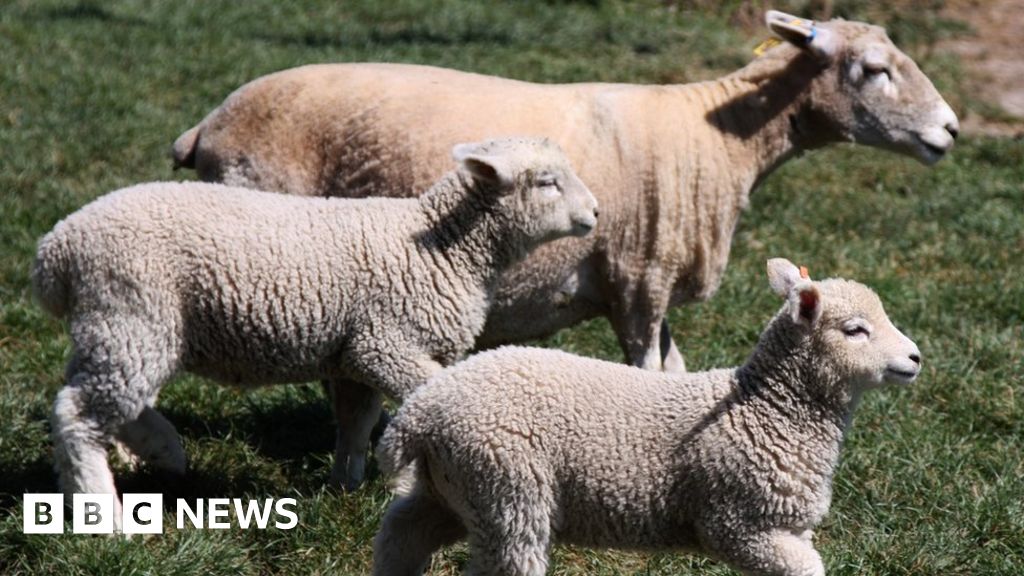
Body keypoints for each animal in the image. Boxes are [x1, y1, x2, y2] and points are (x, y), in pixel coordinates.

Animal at [32, 137, 599, 525]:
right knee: (79, 413)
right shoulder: (386, 343)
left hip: (114, 326)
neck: (443, 246)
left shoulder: (354, 355)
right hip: (133, 314)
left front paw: (347, 486)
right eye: (546, 181)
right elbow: (423, 399)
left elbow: (355, 423)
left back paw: (158, 450)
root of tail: (57, 249)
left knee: (93, 393)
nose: (596, 212)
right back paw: (105, 513)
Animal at [170, 10, 958, 378]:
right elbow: (646, 369)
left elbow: (671, 367)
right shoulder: (640, 276)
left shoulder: (644, 282)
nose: (950, 129)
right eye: (874, 69)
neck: (719, 137)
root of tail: (207, 125)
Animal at [372, 258, 922, 576]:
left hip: (456, 490)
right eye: (855, 330)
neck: (766, 408)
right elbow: (806, 568)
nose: (916, 358)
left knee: (401, 535)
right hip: (506, 489)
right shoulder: (739, 524)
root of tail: (421, 412)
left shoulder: (784, 526)